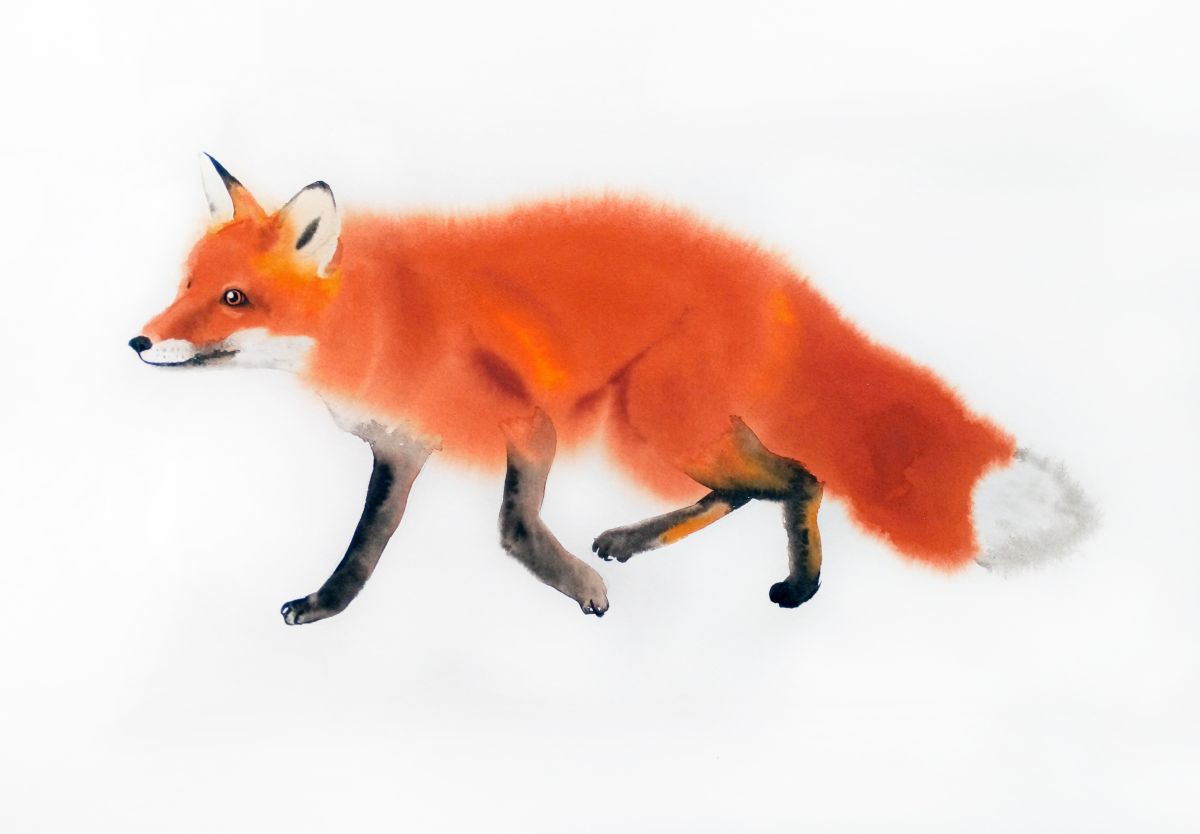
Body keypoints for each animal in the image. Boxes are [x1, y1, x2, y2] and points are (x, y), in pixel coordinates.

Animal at [131, 155, 1096, 625]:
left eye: (234, 299)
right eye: (186, 284)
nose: (138, 340)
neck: (382, 318)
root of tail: (774, 276)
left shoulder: (526, 421)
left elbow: (514, 528)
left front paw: (579, 591)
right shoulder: (400, 450)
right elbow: (364, 549)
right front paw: (328, 607)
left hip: (652, 421)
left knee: (798, 479)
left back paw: (798, 588)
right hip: (669, 427)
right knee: (752, 488)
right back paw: (642, 540)